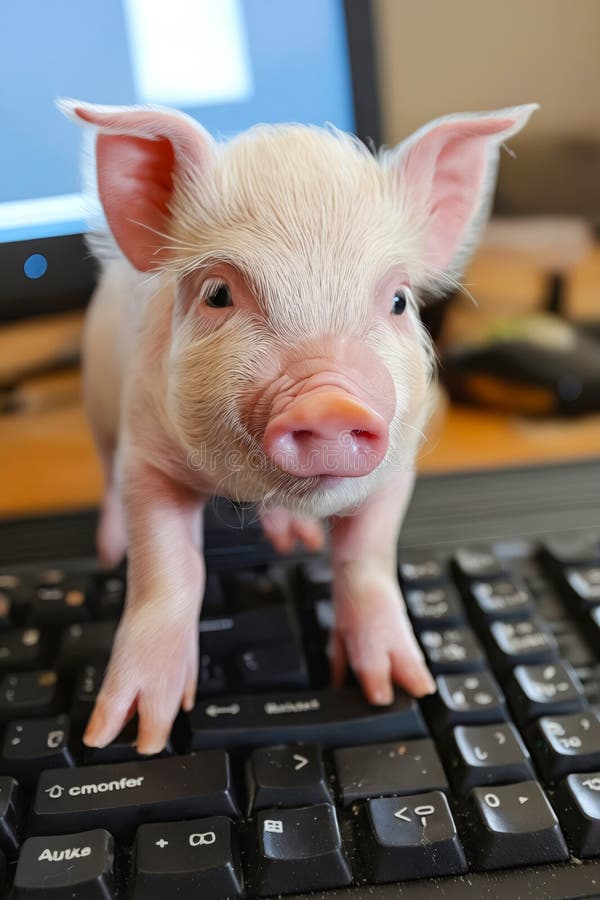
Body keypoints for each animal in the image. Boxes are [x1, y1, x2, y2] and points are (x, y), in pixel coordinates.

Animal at [59, 98, 536, 754]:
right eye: (217, 294)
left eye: (398, 301)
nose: (331, 403)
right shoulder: (146, 448)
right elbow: (168, 569)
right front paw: (128, 736)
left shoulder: (398, 464)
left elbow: (367, 558)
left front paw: (396, 688)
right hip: (94, 400)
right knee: (107, 476)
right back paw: (110, 550)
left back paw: (297, 539)